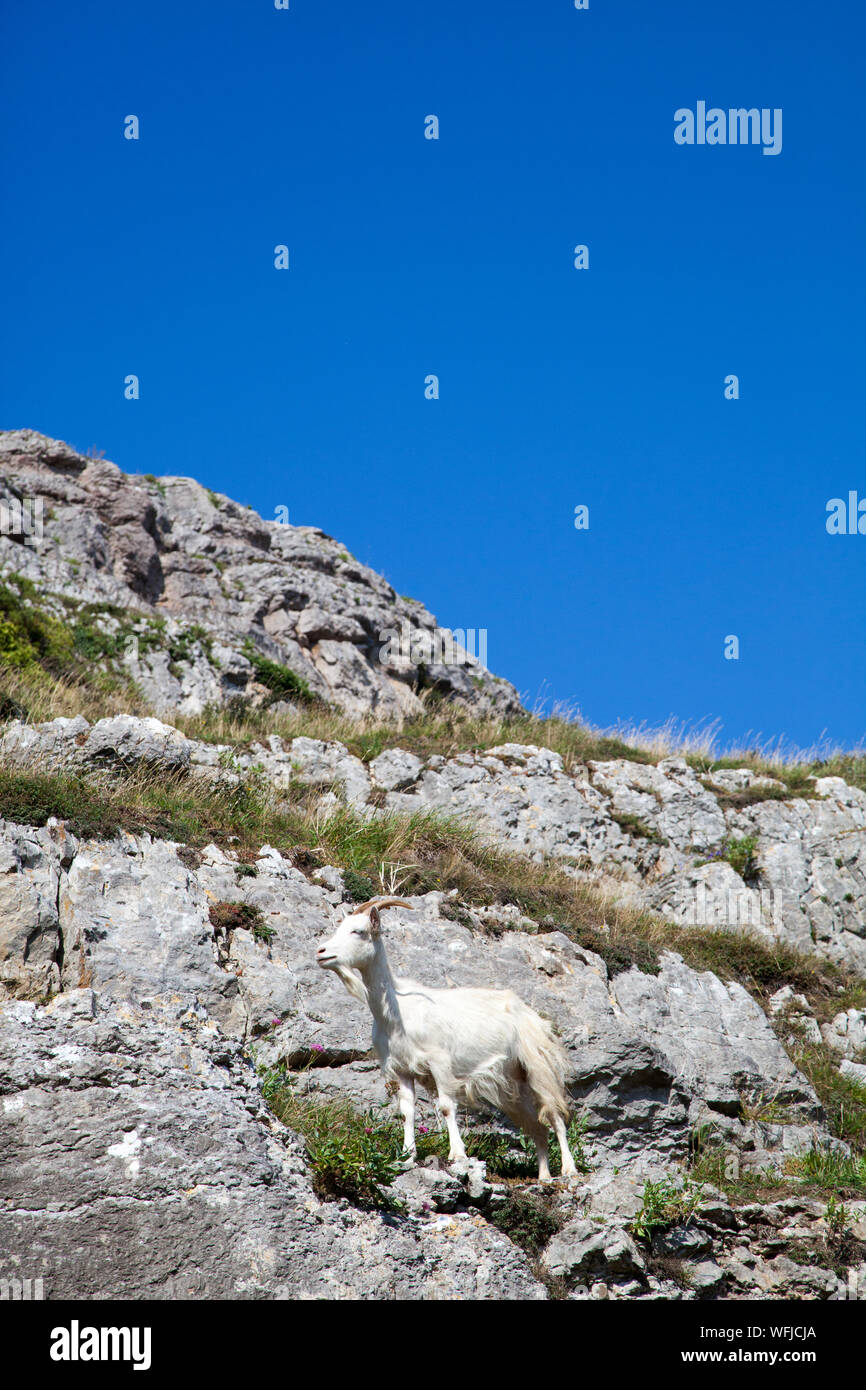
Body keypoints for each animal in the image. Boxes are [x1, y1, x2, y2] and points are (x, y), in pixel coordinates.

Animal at [315, 897, 578, 1180]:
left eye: (358, 931)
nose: (321, 952)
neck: (399, 1012)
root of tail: (532, 1016)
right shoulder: (402, 1068)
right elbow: (407, 1111)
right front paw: (407, 1156)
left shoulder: (440, 1062)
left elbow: (446, 1106)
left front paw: (458, 1154)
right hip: (512, 1086)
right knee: (538, 1127)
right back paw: (544, 1176)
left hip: (537, 1066)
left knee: (554, 1115)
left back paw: (569, 1169)